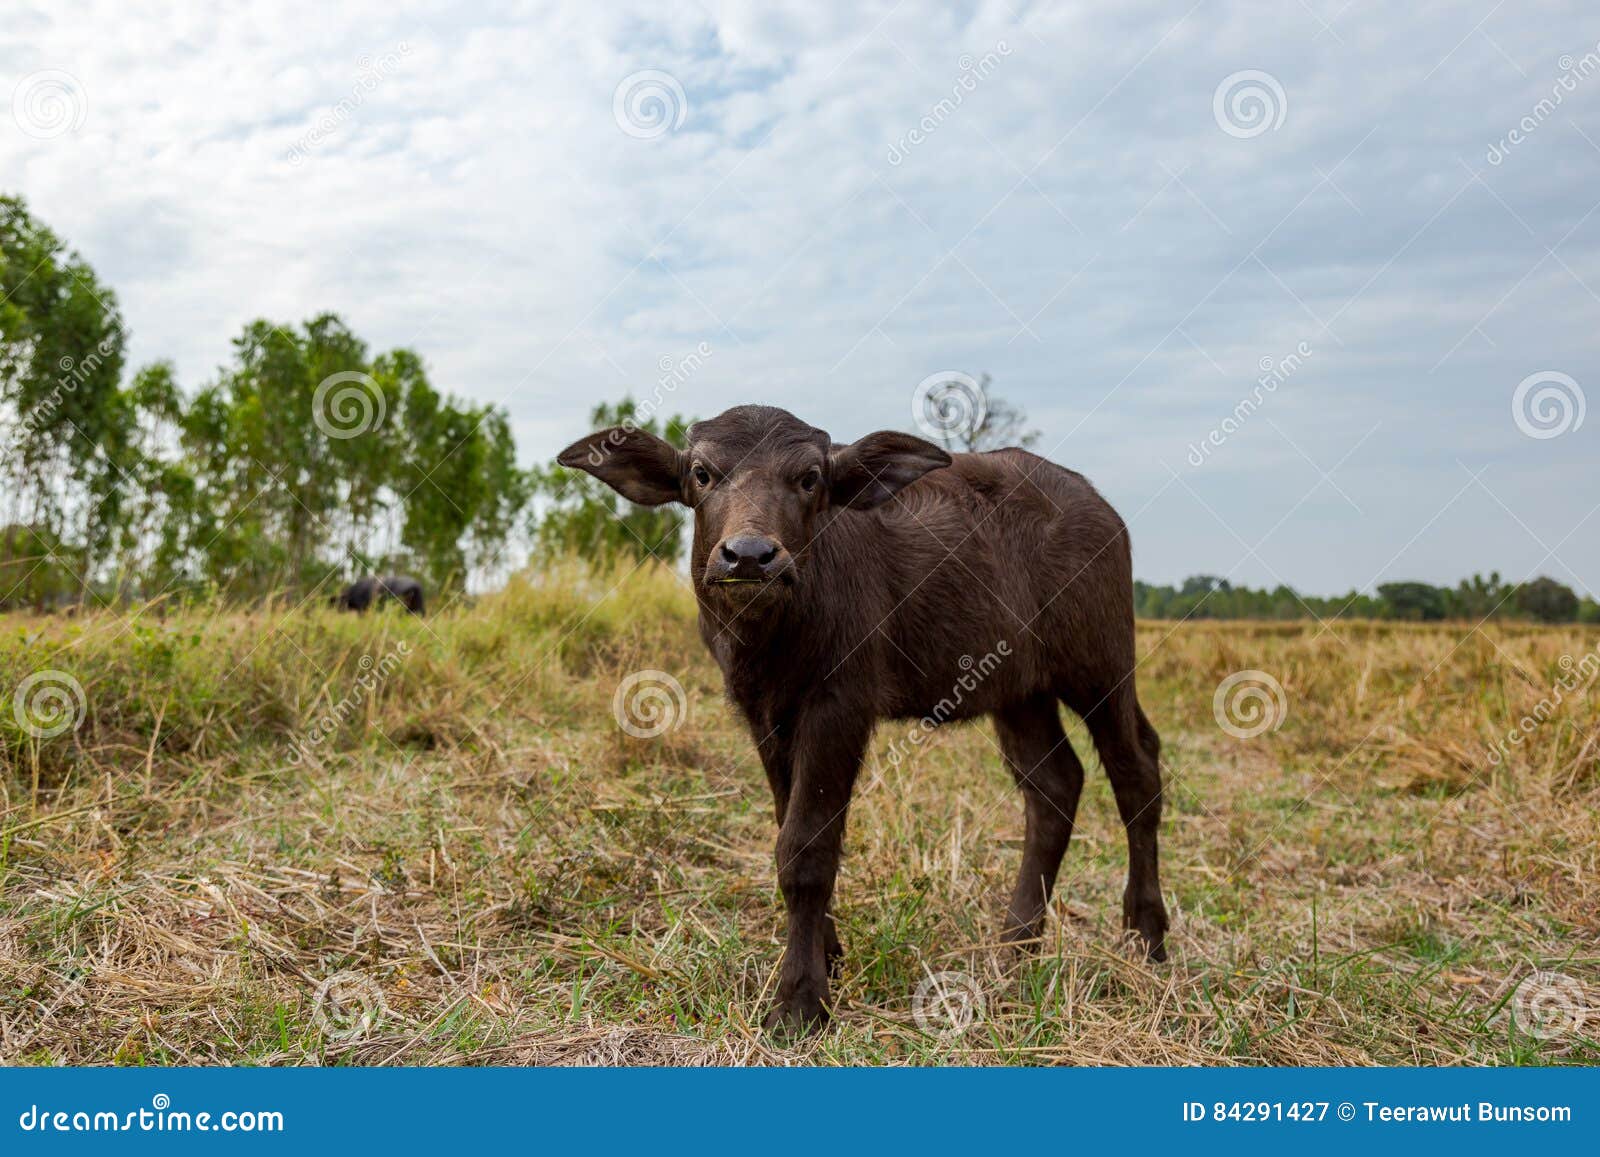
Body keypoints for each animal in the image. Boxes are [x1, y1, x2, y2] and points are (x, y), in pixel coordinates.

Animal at [558, 405, 1167, 1036]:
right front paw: (826, 953)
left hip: (1101, 666)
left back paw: (1145, 934)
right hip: (1021, 690)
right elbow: (785, 826)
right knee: (1053, 785)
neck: (776, 633)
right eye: (702, 473)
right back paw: (1015, 945)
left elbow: (806, 850)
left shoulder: (839, 709)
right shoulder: (763, 716)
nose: (749, 555)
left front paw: (800, 1000)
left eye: (809, 478)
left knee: (1136, 771)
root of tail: (1100, 510)